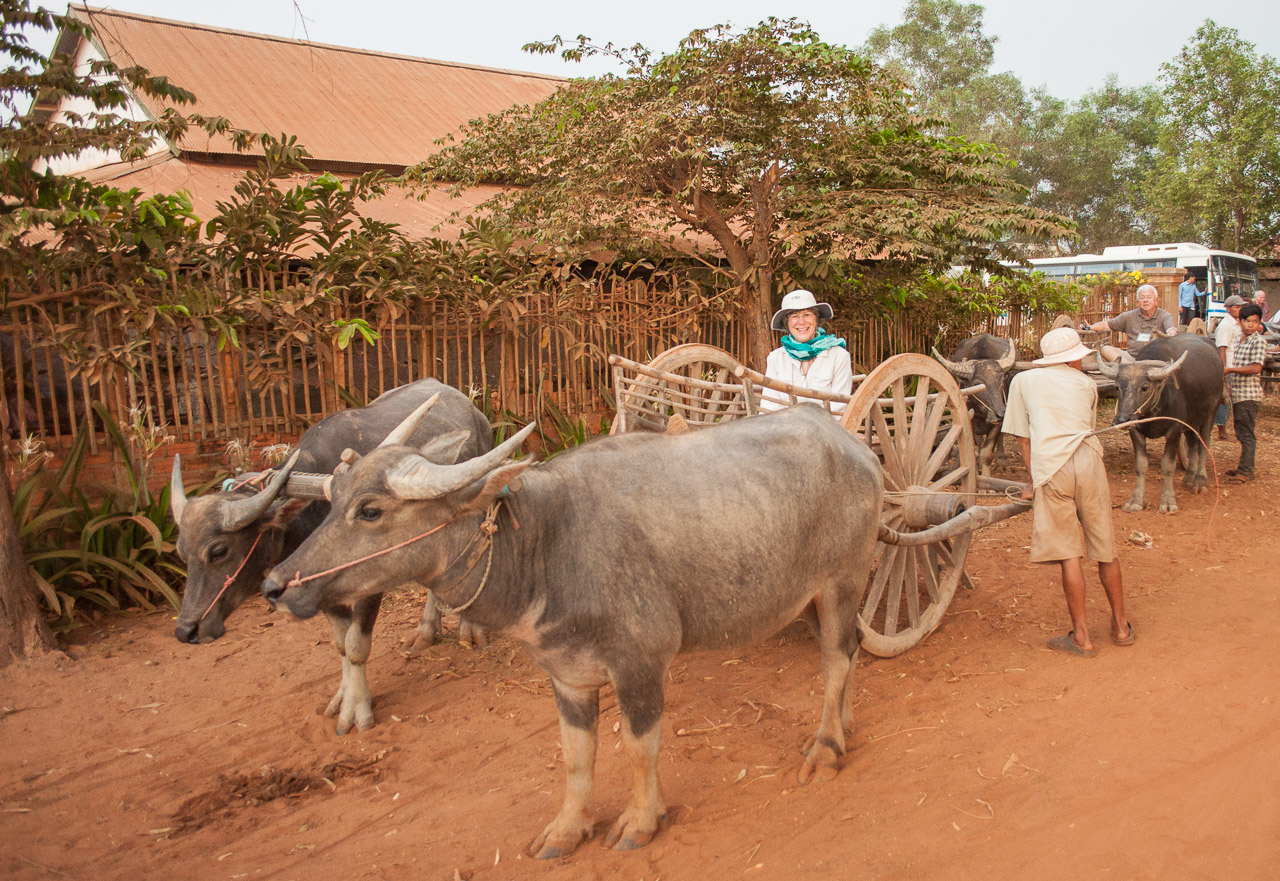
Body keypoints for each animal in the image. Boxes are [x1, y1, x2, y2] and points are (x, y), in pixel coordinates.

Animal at [170, 379, 491, 733]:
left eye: (218, 551)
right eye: (181, 552)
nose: (186, 631)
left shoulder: (371, 579)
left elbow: (356, 645)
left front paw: (357, 710)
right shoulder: (314, 584)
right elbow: (340, 643)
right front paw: (342, 696)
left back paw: (469, 628)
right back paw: (425, 632)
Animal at [263, 405, 883, 858]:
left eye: (370, 510)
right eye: (332, 499)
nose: (276, 584)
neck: (549, 546)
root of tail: (855, 446)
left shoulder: (640, 665)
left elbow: (639, 747)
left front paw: (640, 821)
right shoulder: (567, 677)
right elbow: (575, 755)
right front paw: (567, 828)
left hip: (843, 580)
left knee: (836, 657)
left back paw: (827, 747)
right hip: (806, 597)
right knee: (847, 652)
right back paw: (844, 721)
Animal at [933, 334, 1017, 476]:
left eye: (1001, 380)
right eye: (977, 384)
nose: (1000, 414)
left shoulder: (996, 423)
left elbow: (986, 454)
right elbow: (974, 449)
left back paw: (1001, 461)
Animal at [1097, 335, 1222, 513]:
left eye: (1144, 387)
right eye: (1117, 387)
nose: (1122, 420)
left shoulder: (1174, 430)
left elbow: (1168, 465)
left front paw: (1168, 501)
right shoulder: (1136, 431)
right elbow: (1140, 464)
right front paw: (1137, 501)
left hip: (1210, 413)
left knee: (1204, 444)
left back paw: (1200, 481)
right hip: (1190, 420)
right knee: (1192, 443)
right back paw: (1189, 477)